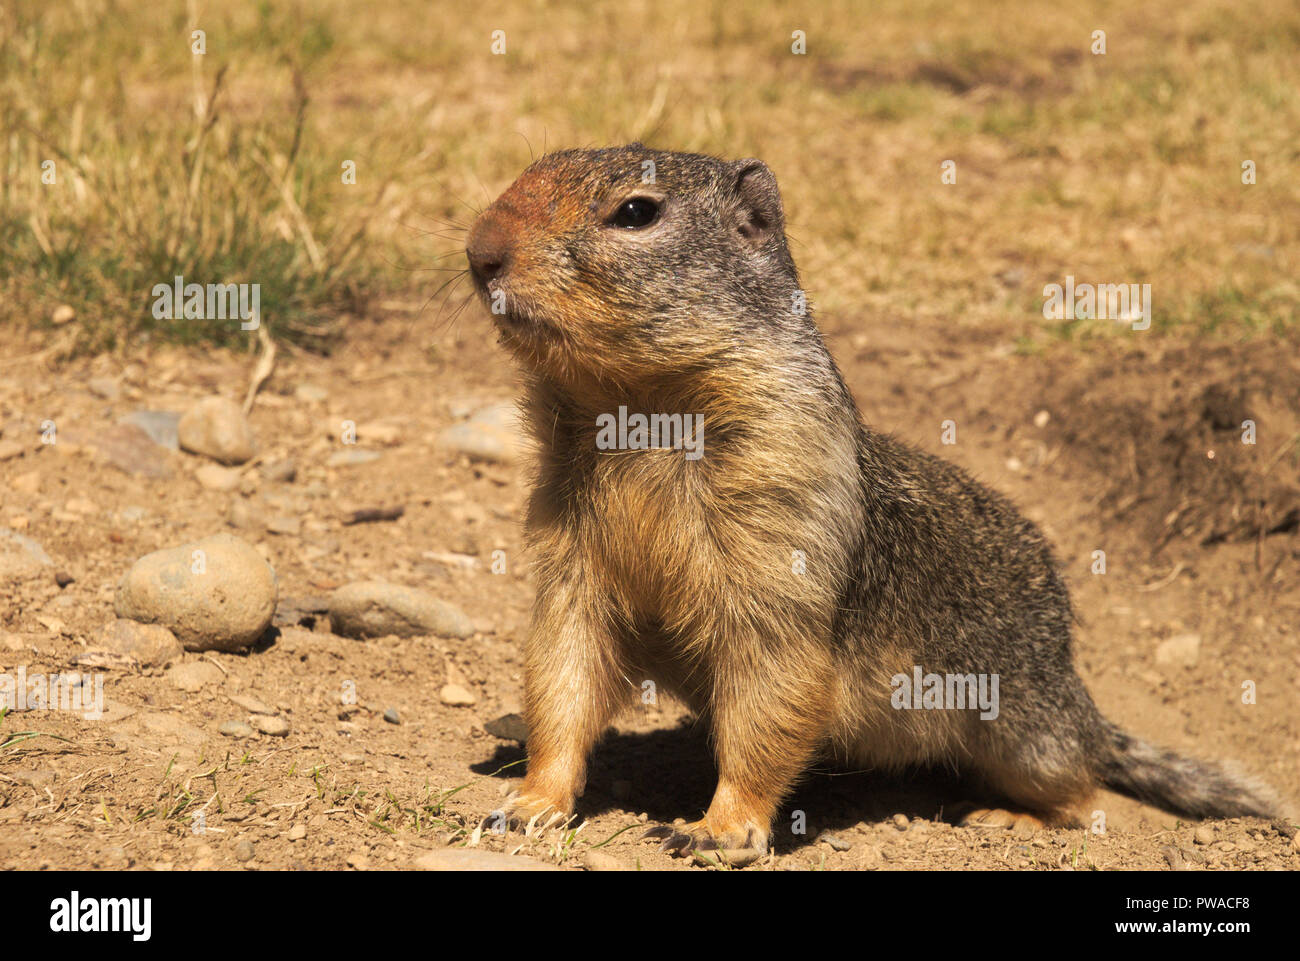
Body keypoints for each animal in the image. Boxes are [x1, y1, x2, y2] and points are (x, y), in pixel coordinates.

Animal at [464, 144, 1281, 860]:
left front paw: (719, 830)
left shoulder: (781, 542)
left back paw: (1007, 816)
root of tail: (1076, 688)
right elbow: (561, 672)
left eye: (636, 211)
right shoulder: (571, 557)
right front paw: (528, 803)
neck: (635, 413)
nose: (479, 249)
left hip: (1024, 726)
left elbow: (771, 696)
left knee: (1084, 791)